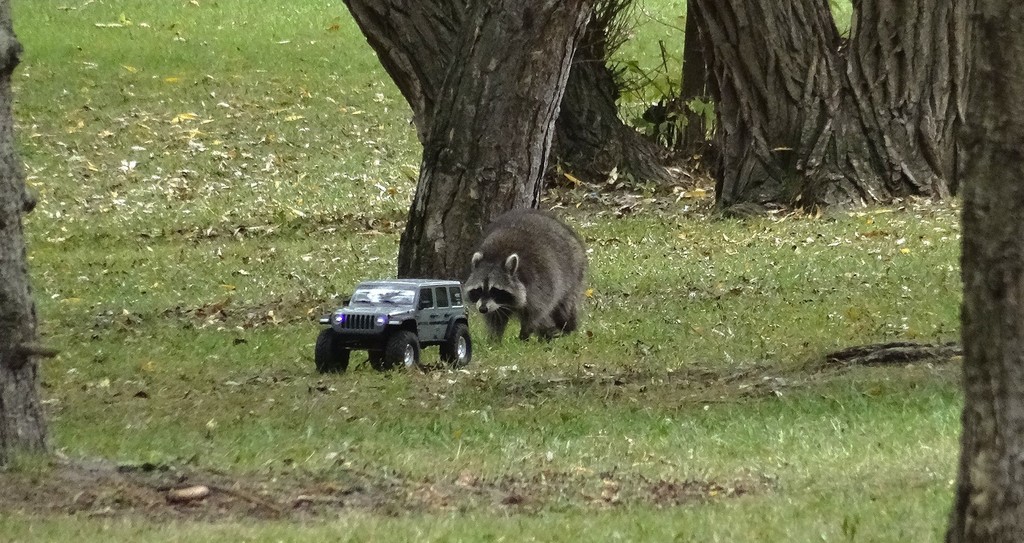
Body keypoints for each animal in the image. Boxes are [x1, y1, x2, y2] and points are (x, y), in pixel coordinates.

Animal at [465, 209, 587, 341]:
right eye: (479, 289)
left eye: (495, 290)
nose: (482, 309)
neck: (496, 258)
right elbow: (495, 317)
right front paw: (494, 339)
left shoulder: (541, 283)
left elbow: (537, 312)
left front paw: (525, 334)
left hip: (574, 271)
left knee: (565, 307)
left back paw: (567, 328)